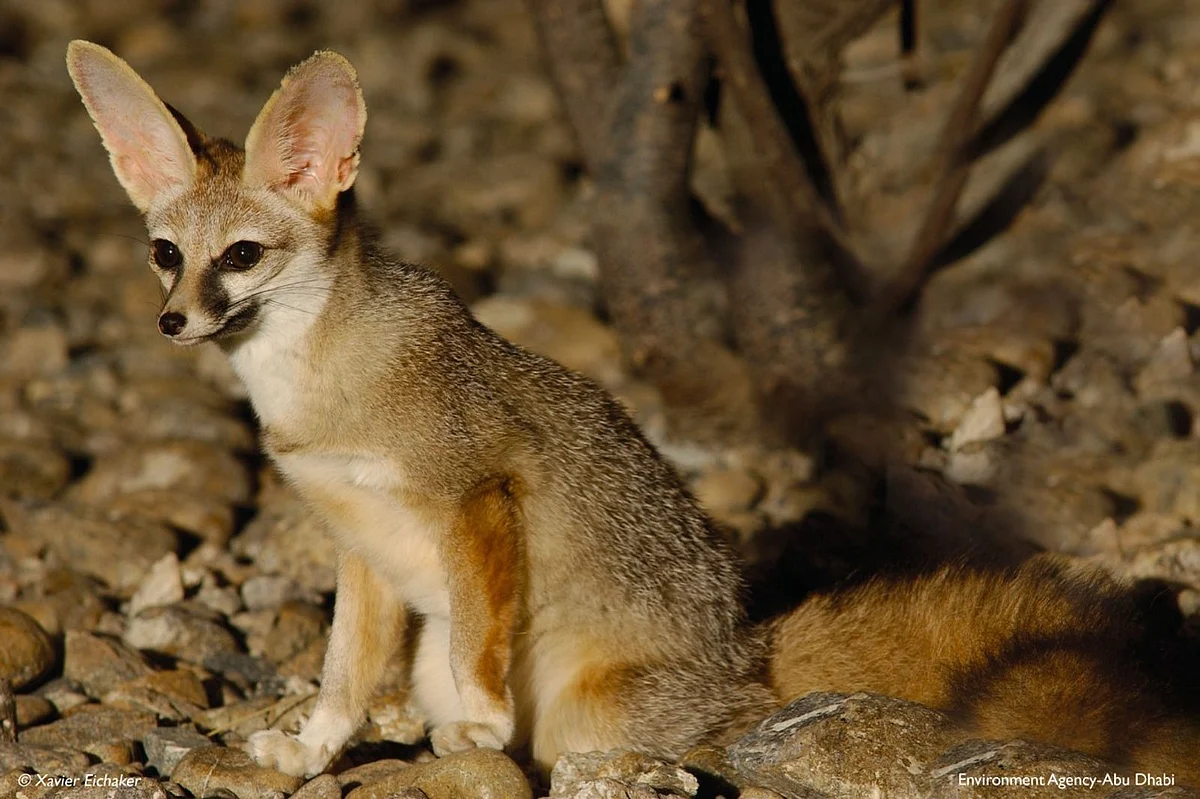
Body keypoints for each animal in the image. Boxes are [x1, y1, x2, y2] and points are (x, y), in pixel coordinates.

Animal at [66, 41, 1199, 786]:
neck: (321, 381)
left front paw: (478, 733)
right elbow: (342, 674)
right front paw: (308, 749)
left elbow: (477, 648)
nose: (172, 321)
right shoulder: (359, 542)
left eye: (242, 256)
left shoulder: (479, 493)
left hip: (587, 714)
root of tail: (746, 659)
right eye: (166, 253)